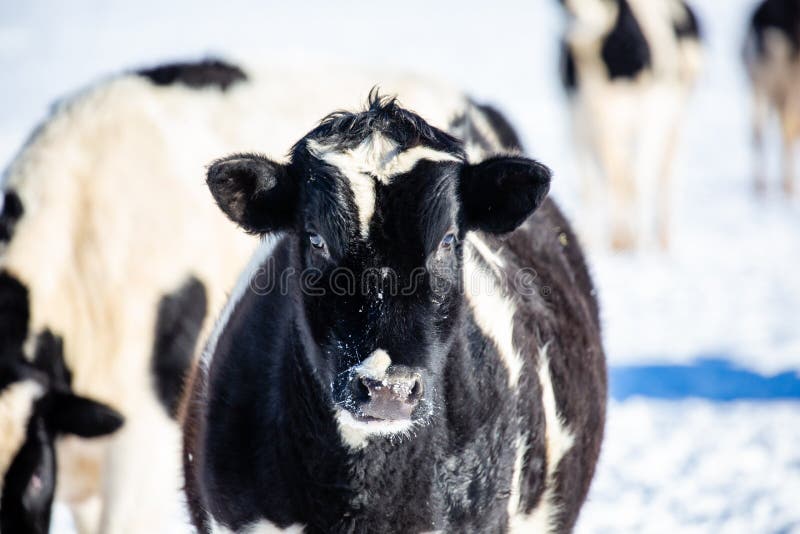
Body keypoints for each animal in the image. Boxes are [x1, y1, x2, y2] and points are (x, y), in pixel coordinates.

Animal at [559, 0, 702, 250]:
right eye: (563, 9)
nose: (573, 35)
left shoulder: (650, 118)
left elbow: (638, 179)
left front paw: (641, 244)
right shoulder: (580, 119)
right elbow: (594, 183)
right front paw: (595, 240)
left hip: (675, 120)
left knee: (664, 173)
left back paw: (662, 240)